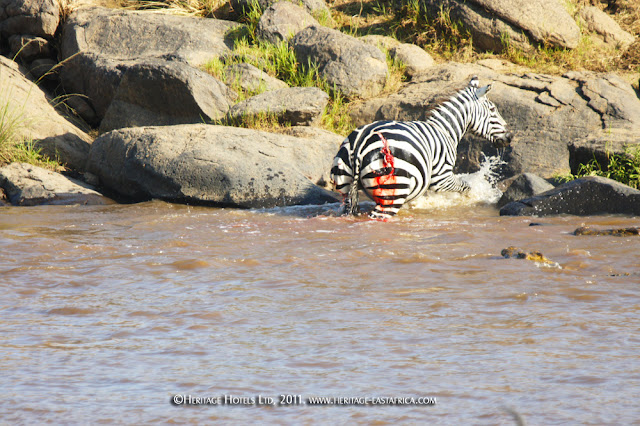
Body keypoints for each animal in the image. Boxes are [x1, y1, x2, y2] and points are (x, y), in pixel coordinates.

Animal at [330, 76, 512, 219]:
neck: (446, 130)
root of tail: (360, 143)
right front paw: (470, 199)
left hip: (346, 187)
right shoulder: (441, 178)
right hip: (392, 191)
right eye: (493, 109)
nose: (510, 137)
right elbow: (466, 186)